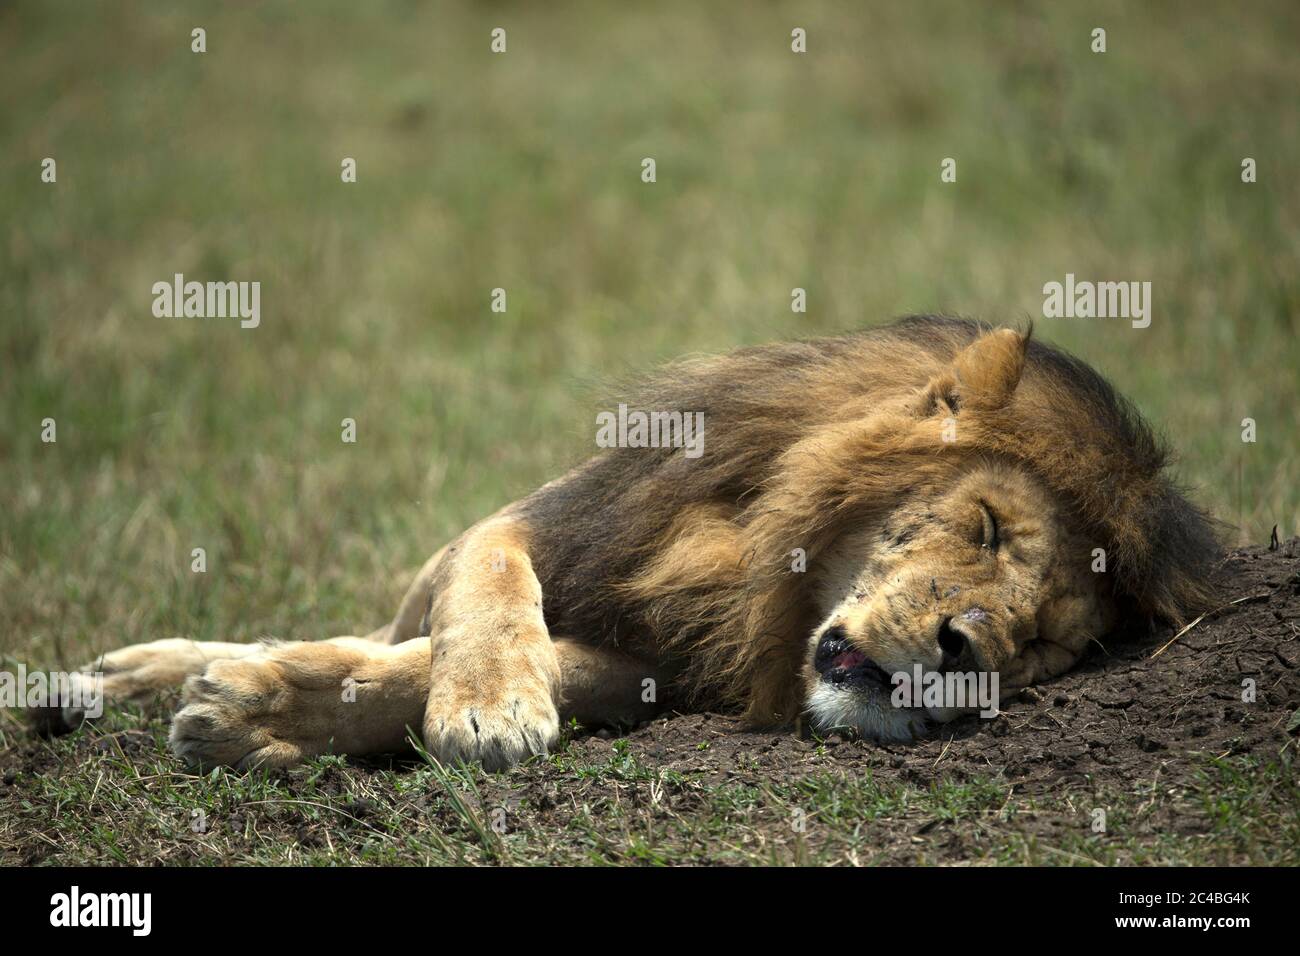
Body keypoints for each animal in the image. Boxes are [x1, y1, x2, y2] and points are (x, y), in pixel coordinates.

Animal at [36, 316, 1221, 770]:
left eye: (1044, 646)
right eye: (984, 524)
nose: (963, 651)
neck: (751, 571)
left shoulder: (672, 658)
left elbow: (517, 666)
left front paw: (258, 711)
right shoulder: (543, 522)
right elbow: (488, 593)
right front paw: (488, 706)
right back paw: (104, 676)